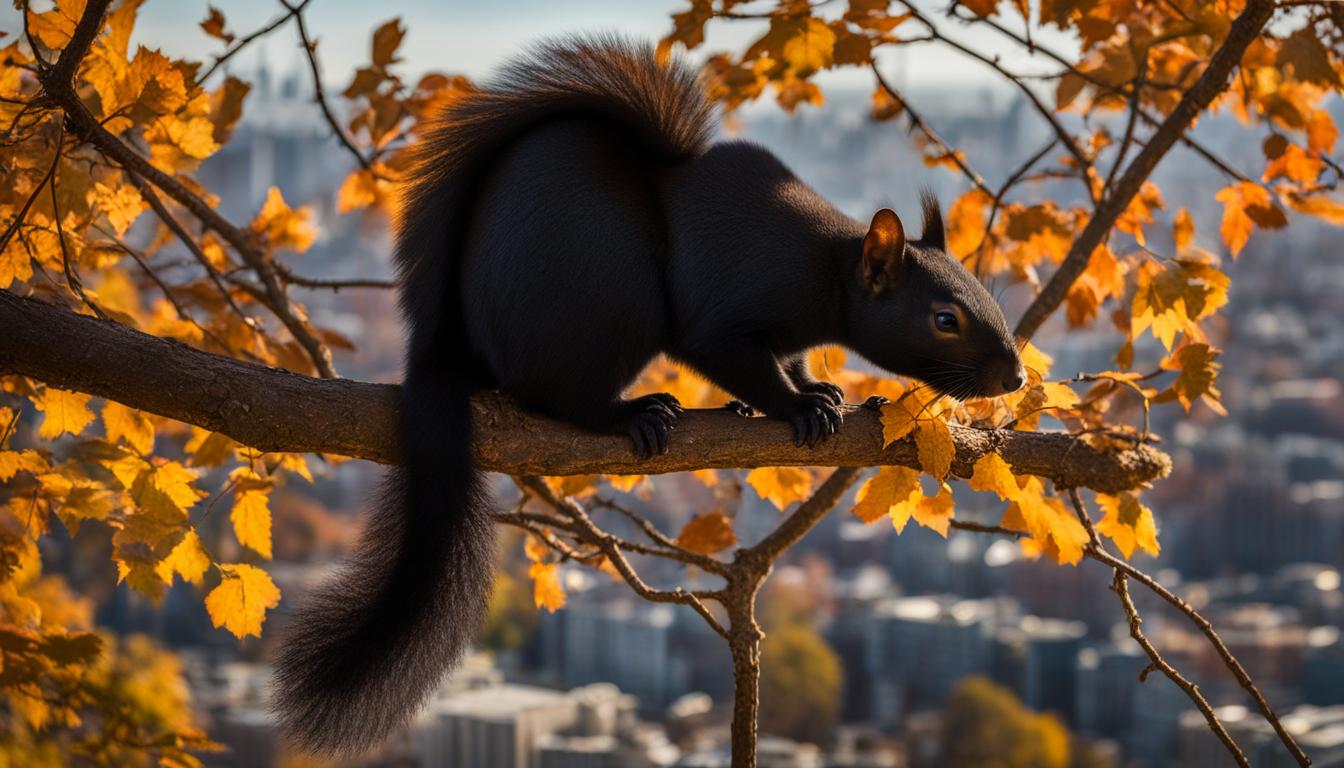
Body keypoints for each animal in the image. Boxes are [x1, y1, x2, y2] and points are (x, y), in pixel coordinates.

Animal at [272, 36, 1025, 755]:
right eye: (944, 319)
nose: (1014, 378)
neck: (825, 272)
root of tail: (455, 350)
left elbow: (792, 358)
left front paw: (822, 387)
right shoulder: (724, 315)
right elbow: (738, 360)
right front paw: (798, 406)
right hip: (615, 299)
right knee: (554, 393)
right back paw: (630, 412)